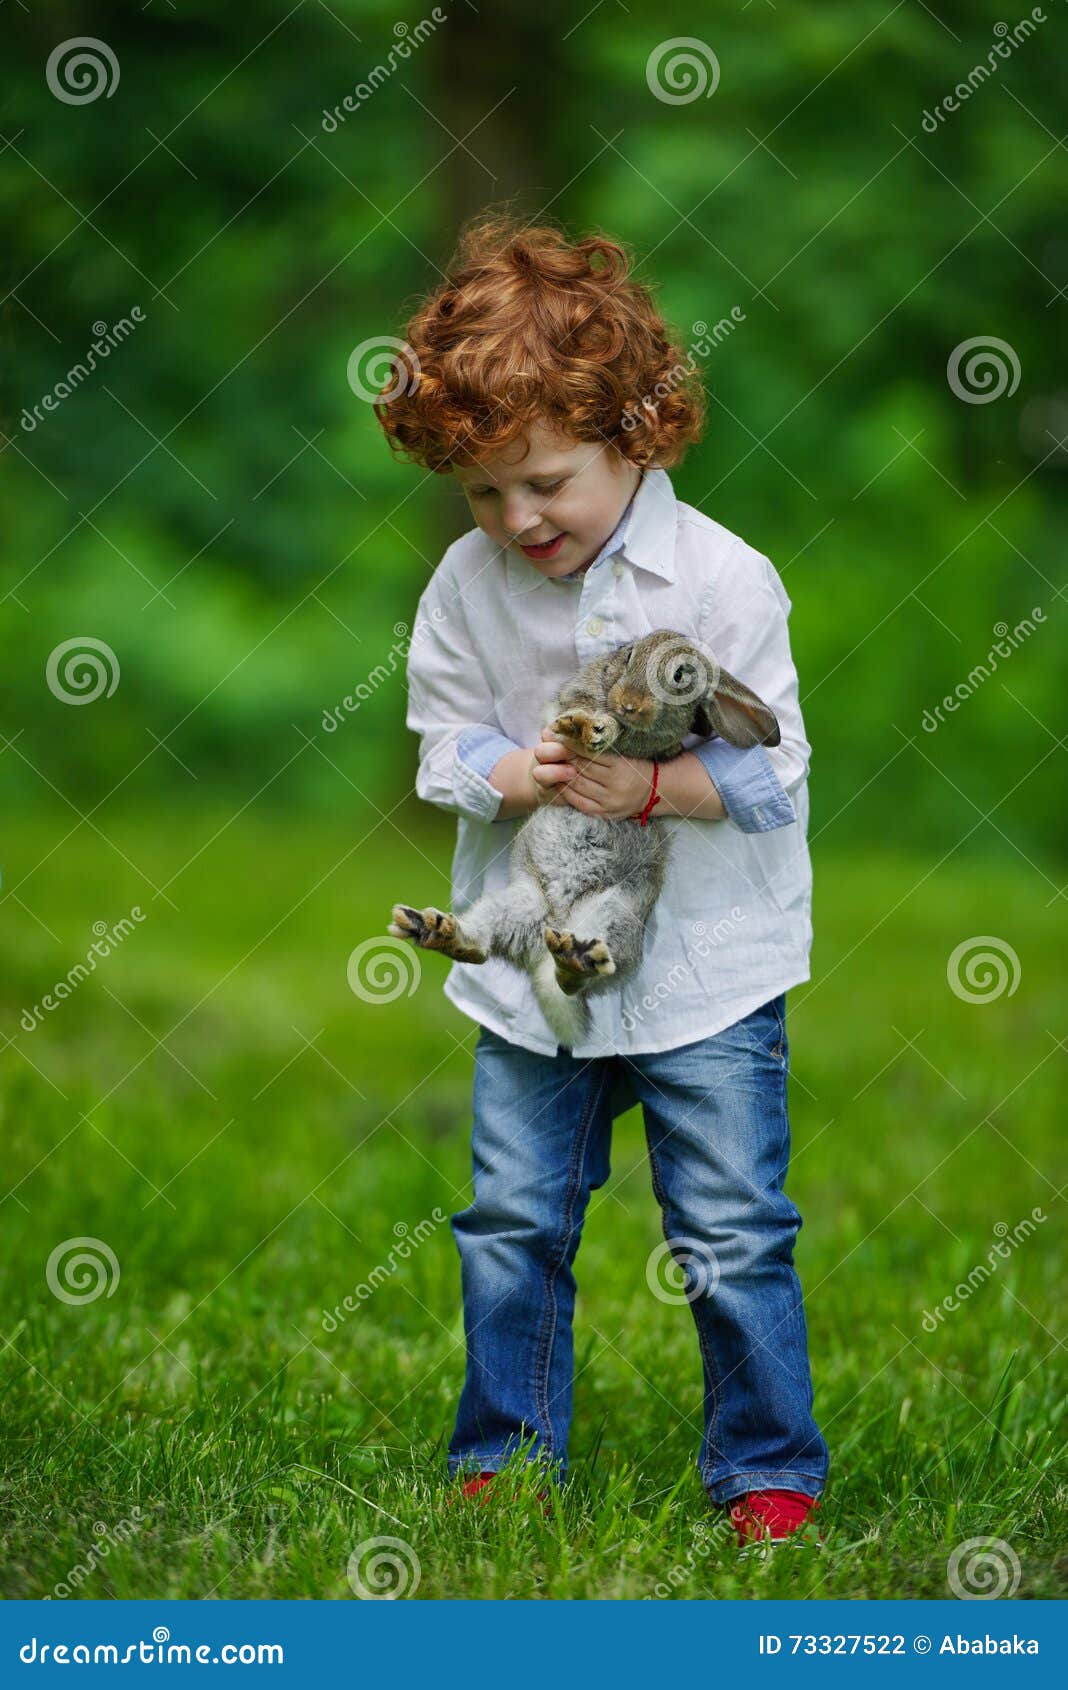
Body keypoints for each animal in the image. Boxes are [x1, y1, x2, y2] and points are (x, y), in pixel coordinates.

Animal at [389, 629, 781, 1048]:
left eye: (680, 676)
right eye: (628, 655)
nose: (629, 705)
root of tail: (546, 943)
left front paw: (597, 729)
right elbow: (577, 711)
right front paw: (584, 726)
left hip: (613, 918)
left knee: (579, 977)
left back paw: (574, 960)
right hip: (515, 905)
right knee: (479, 945)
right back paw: (435, 930)